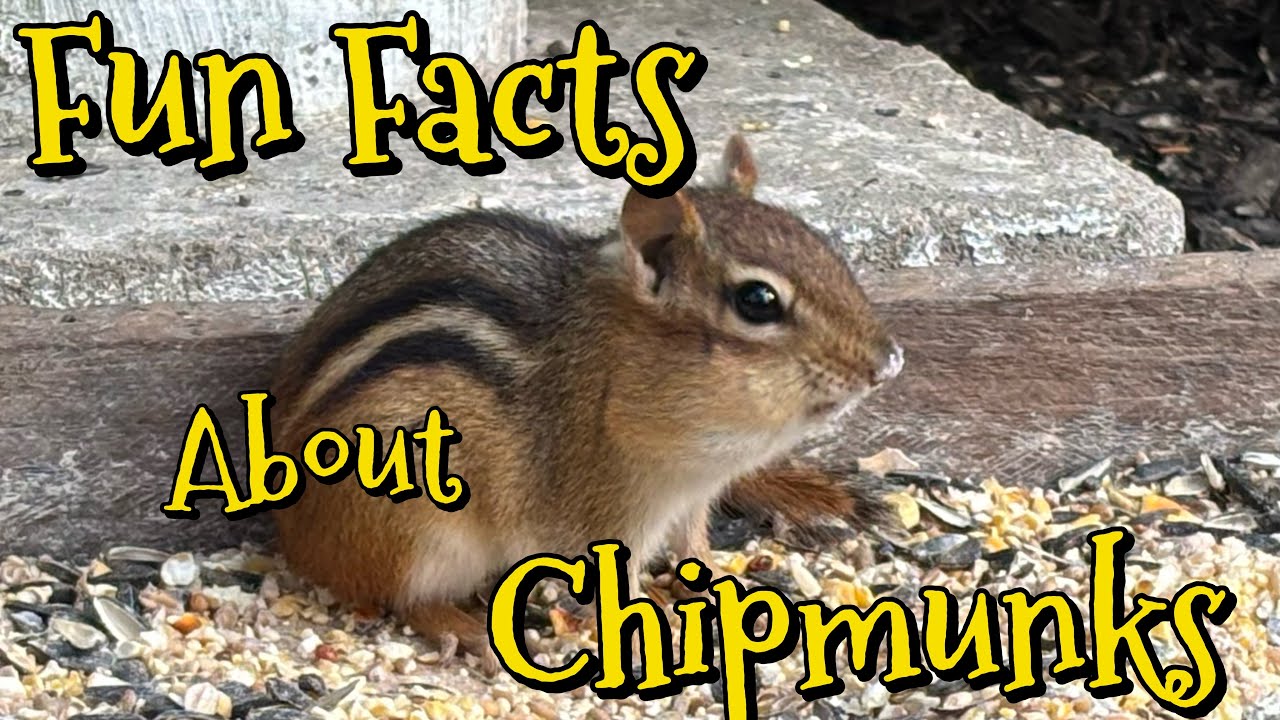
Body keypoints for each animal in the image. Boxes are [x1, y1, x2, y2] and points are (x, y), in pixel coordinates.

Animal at [268, 134, 904, 669]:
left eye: (824, 247)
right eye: (758, 300)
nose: (889, 362)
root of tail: (291, 527)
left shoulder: (691, 502)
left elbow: (695, 549)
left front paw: (727, 586)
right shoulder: (607, 513)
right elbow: (614, 585)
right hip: (414, 527)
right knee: (398, 594)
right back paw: (465, 630)